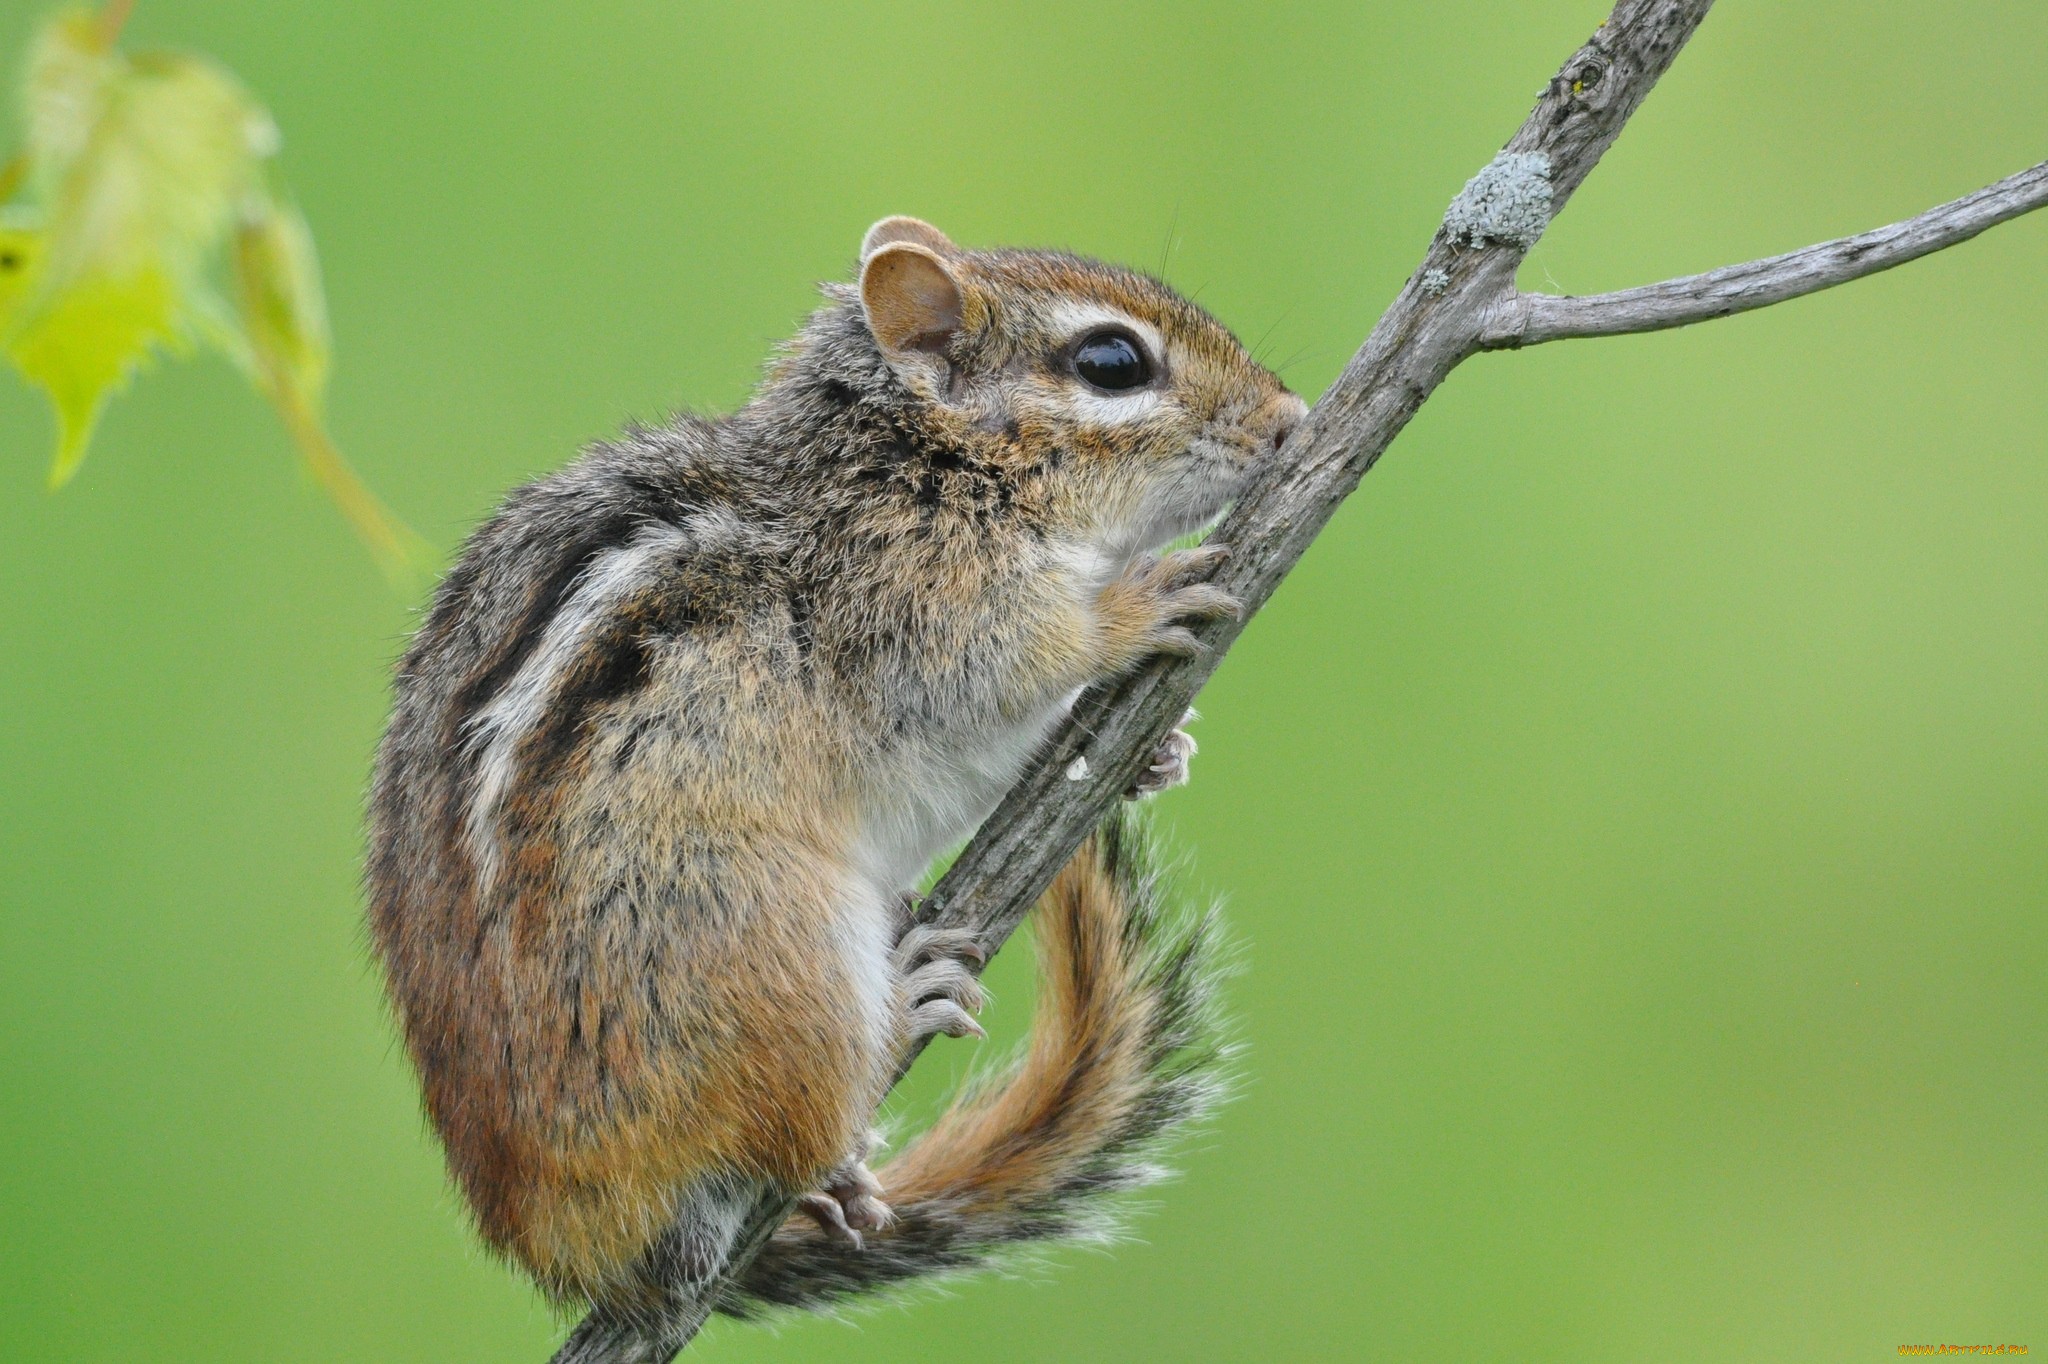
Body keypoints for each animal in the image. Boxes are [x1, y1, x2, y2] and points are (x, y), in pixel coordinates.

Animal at [366, 216, 1304, 1342]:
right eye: (1112, 362)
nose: (1291, 419)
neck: (917, 460)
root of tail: (587, 1252)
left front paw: (1158, 752)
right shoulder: (920, 600)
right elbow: (1012, 660)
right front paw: (1131, 608)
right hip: (770, 945)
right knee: (793, 1119)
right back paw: (903, 1005)